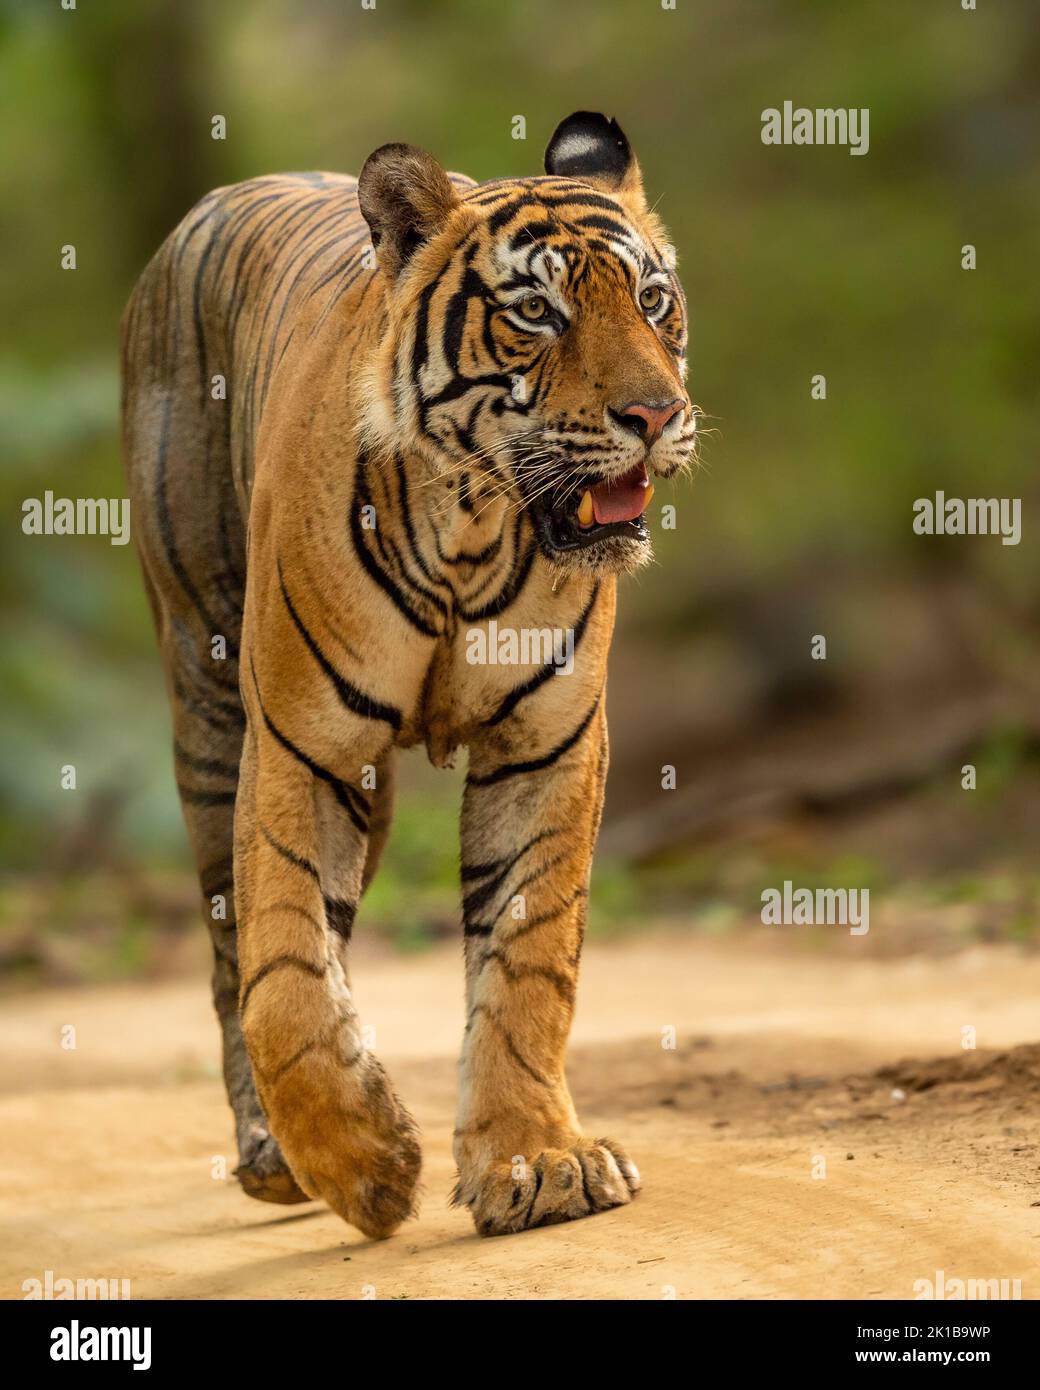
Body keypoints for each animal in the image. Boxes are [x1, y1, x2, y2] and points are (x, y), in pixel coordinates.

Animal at [121, 111, 697, 1239]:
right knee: (231, 945)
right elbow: (282, 973)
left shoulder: (545, 747)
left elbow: (527, 961)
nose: (655, 416)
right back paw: (272, 1153)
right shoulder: (298, 745)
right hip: (208, 698)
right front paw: (364, 1164)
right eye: (536, 311)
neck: (470, 528)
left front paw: (537, 1161)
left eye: (652, 300)